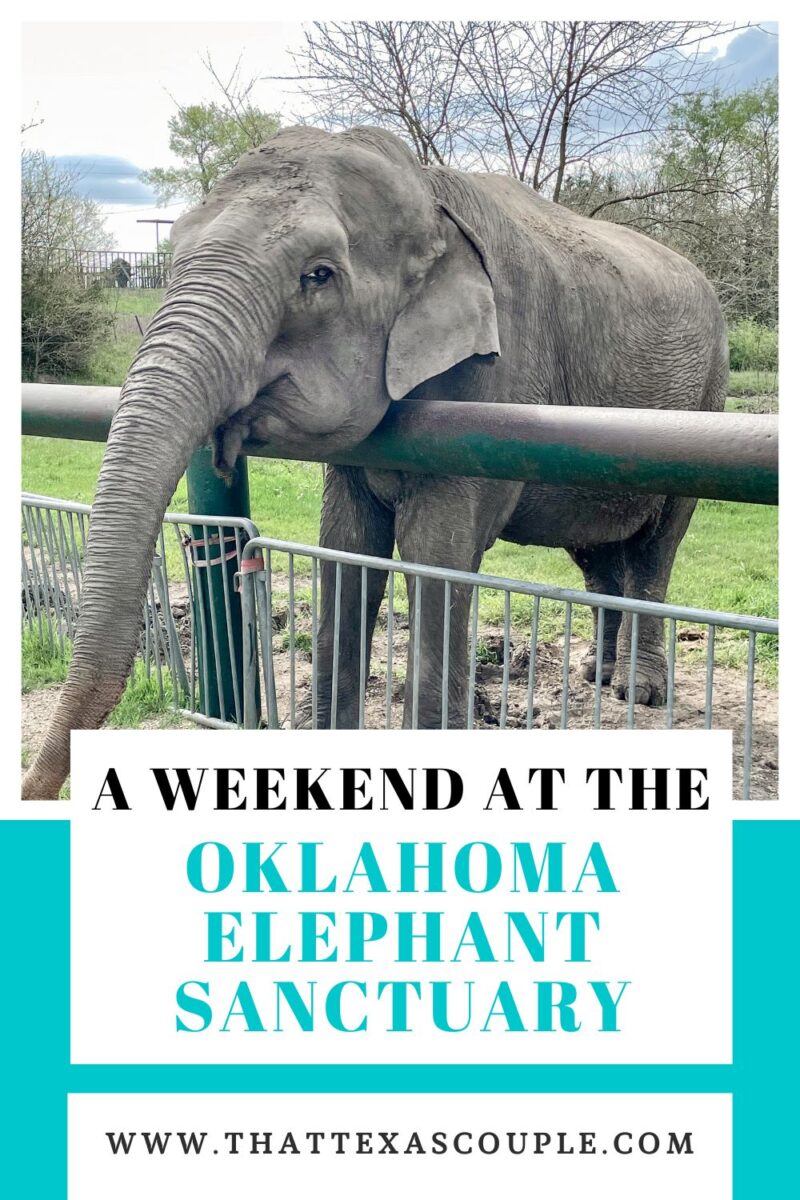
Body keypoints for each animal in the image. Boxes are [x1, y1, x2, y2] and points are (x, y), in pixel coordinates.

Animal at [22, 125, 728, 800]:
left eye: (318, 275)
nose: (34, 788)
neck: (429, 191)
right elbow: (346, 545)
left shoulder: (499, 375)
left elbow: (434, 551)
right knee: (598, 555)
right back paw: (596, 675)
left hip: (706, 398)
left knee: (655, 548)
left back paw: (638, 692)